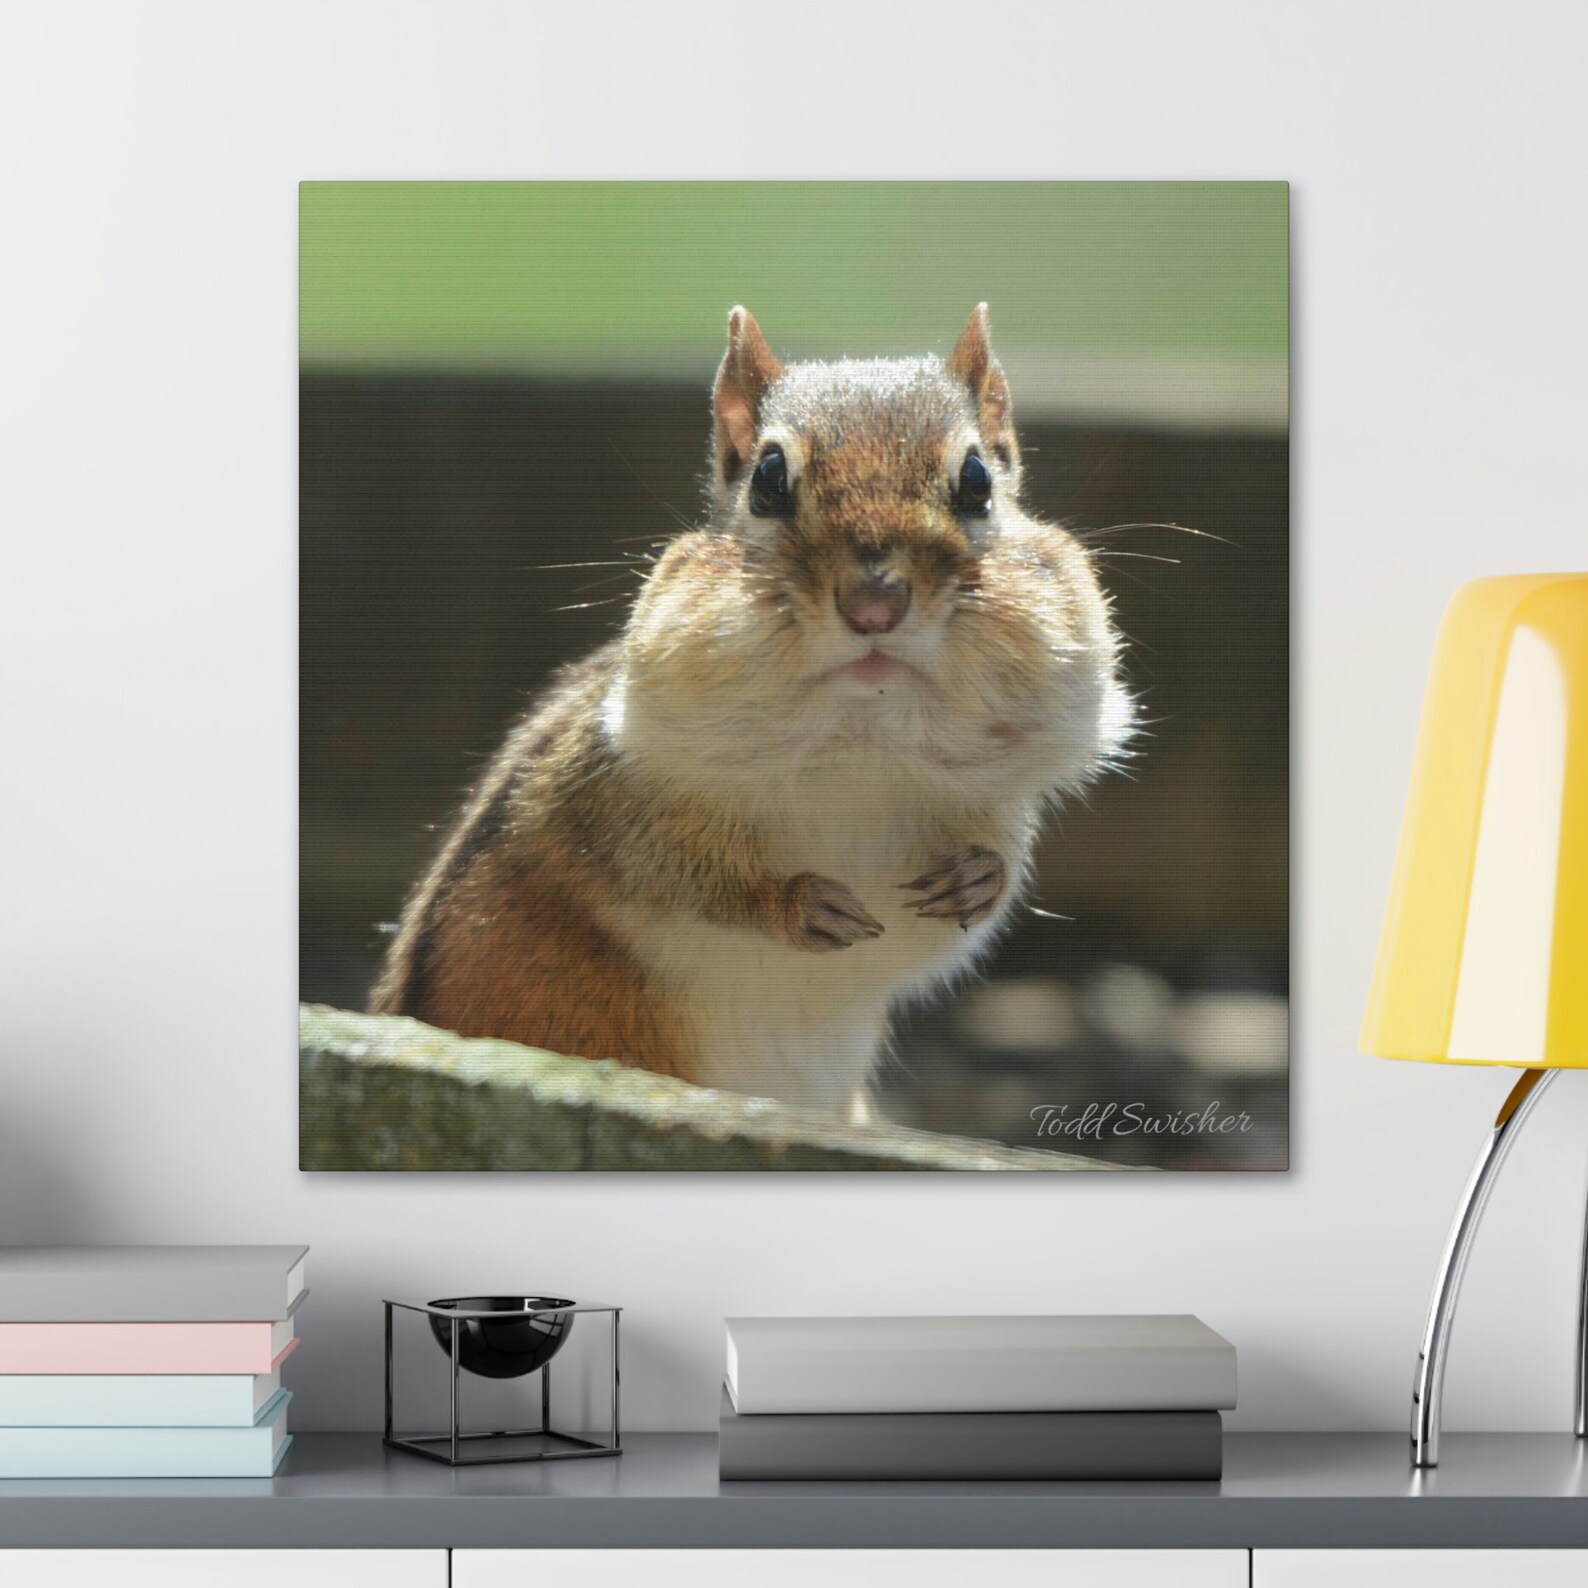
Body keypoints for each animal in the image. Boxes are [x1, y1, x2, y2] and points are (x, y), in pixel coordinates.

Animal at [370, 304, 1134, 1114]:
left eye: (977, 481)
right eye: (769, 480)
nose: (874, 605)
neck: (863, 742)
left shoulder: (1002, 793)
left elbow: (1002, 865)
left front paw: (978, 879)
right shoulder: (611, 798)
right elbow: (677, 871)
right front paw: (795, 903)